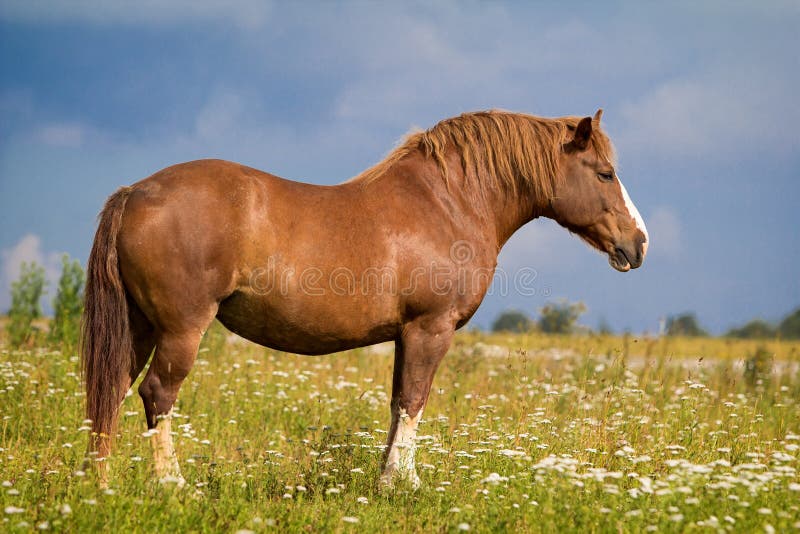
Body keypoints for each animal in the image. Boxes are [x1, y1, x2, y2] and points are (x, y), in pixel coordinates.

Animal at [82, 109, 648, 488]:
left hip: (139, 328)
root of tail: (135, 193)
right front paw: (403, 484)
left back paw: (100, 484)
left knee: (110, 393)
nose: (638, 243)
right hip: (181, 329)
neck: (448, 203)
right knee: (157, 394)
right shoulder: (430, 329)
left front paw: (386, 479)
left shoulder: (404, 335)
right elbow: (415, 401)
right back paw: (171, 485)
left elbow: (398, 403)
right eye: (605, 173)